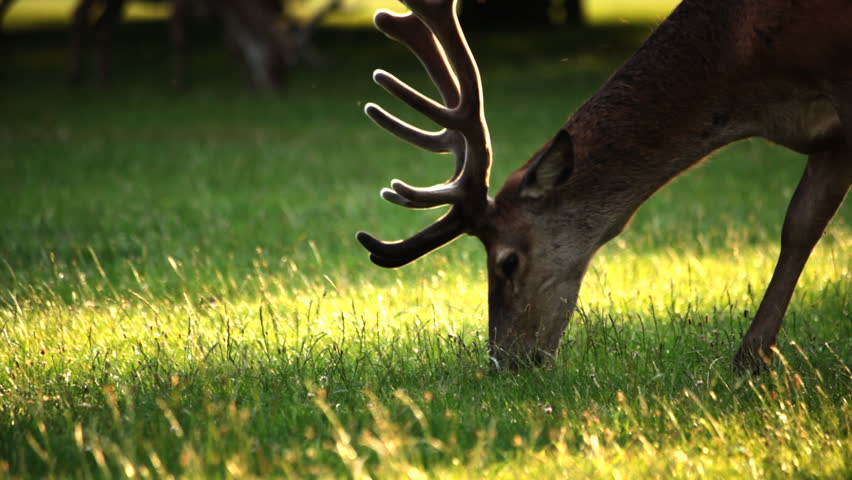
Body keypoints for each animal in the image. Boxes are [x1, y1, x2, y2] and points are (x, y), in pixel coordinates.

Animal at [356, 0, 852, 372]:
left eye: (508, 262)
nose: (504, 362)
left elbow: (801, 225)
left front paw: (752, 357)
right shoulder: (831, 138)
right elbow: (801, 224)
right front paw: (752, 358)